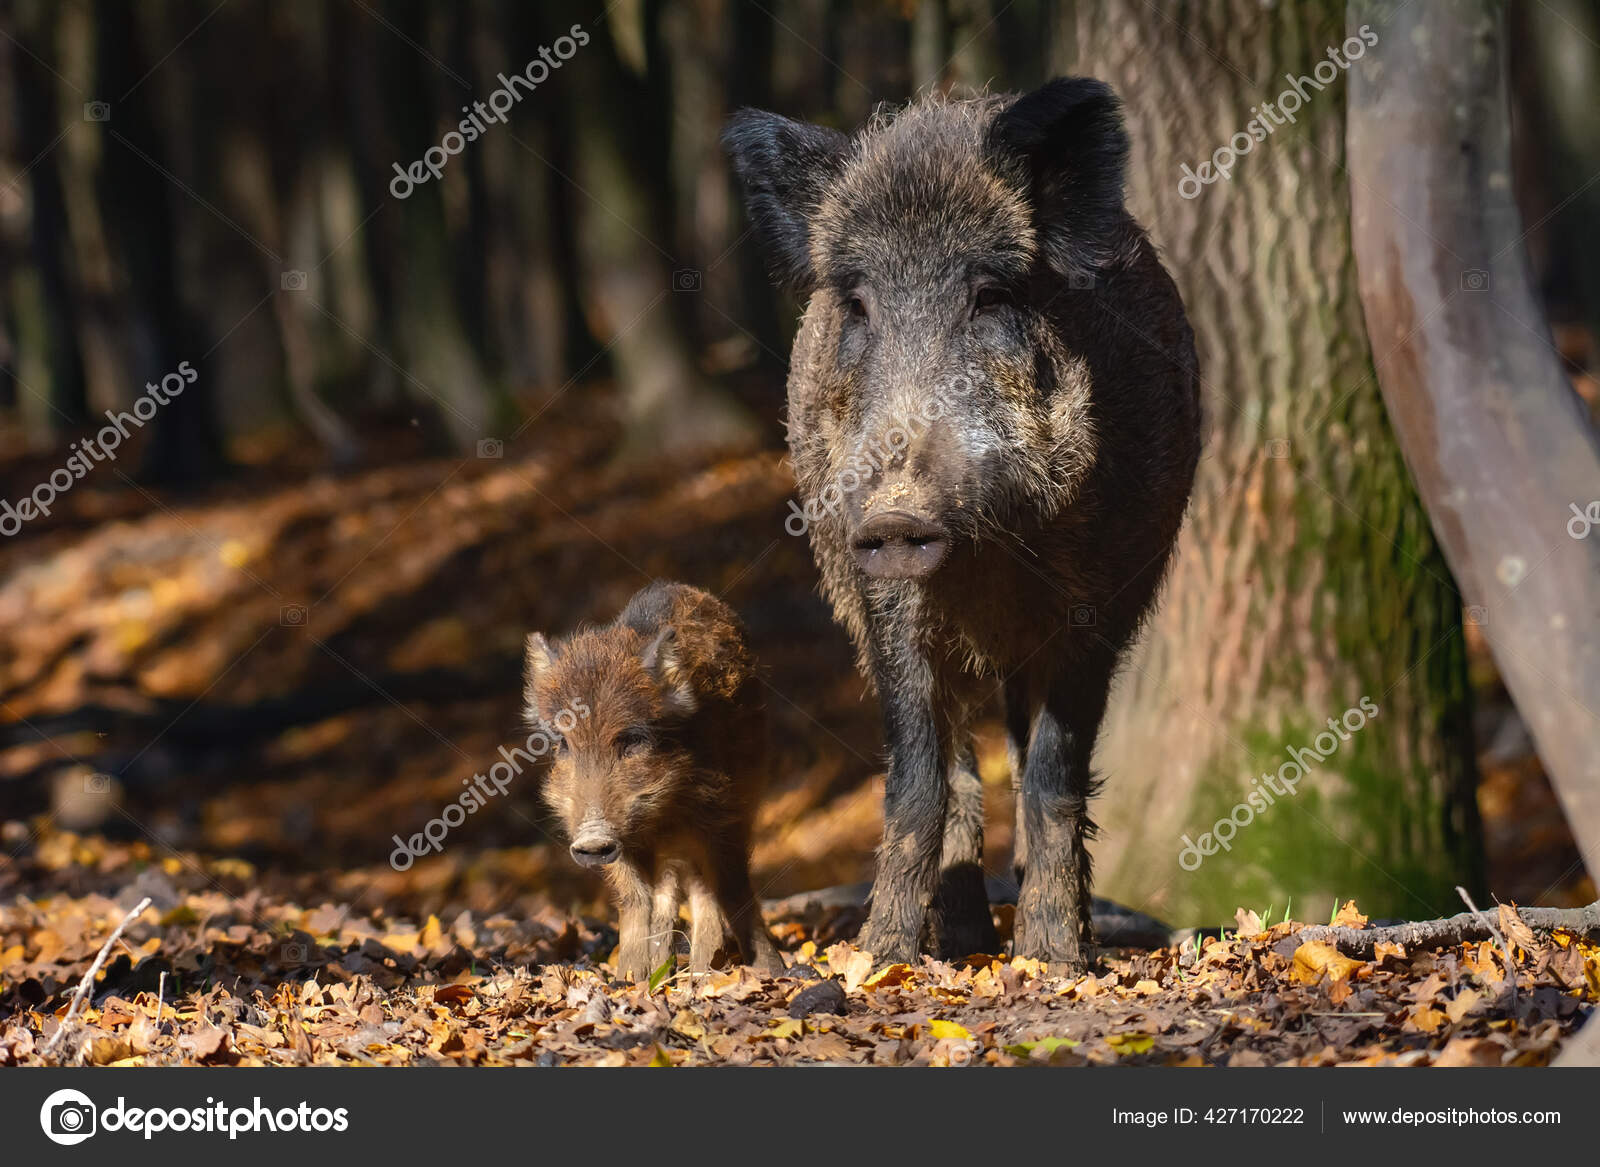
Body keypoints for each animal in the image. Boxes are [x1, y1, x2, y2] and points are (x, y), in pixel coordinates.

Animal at [524, 581, 784, 981]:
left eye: (633, 739)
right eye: (563, 744)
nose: (591, 838)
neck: (660, 815)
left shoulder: (722, 814)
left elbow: (727, 886)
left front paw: (769, 970)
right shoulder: (621, 844)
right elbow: (634, 898)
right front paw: (628, 980)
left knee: (700, 889)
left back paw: (700, 971)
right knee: (667, 892)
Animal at [723, 80, 1201, 971]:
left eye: (988, 296)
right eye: (859, 303)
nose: (895, 511)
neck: (987, 559)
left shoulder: (1100, 606)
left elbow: (1053, 770)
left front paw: (1055, 958)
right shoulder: (879, 599)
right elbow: (917, 776)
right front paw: (880, 957)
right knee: (960, 766)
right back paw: (962, 940)